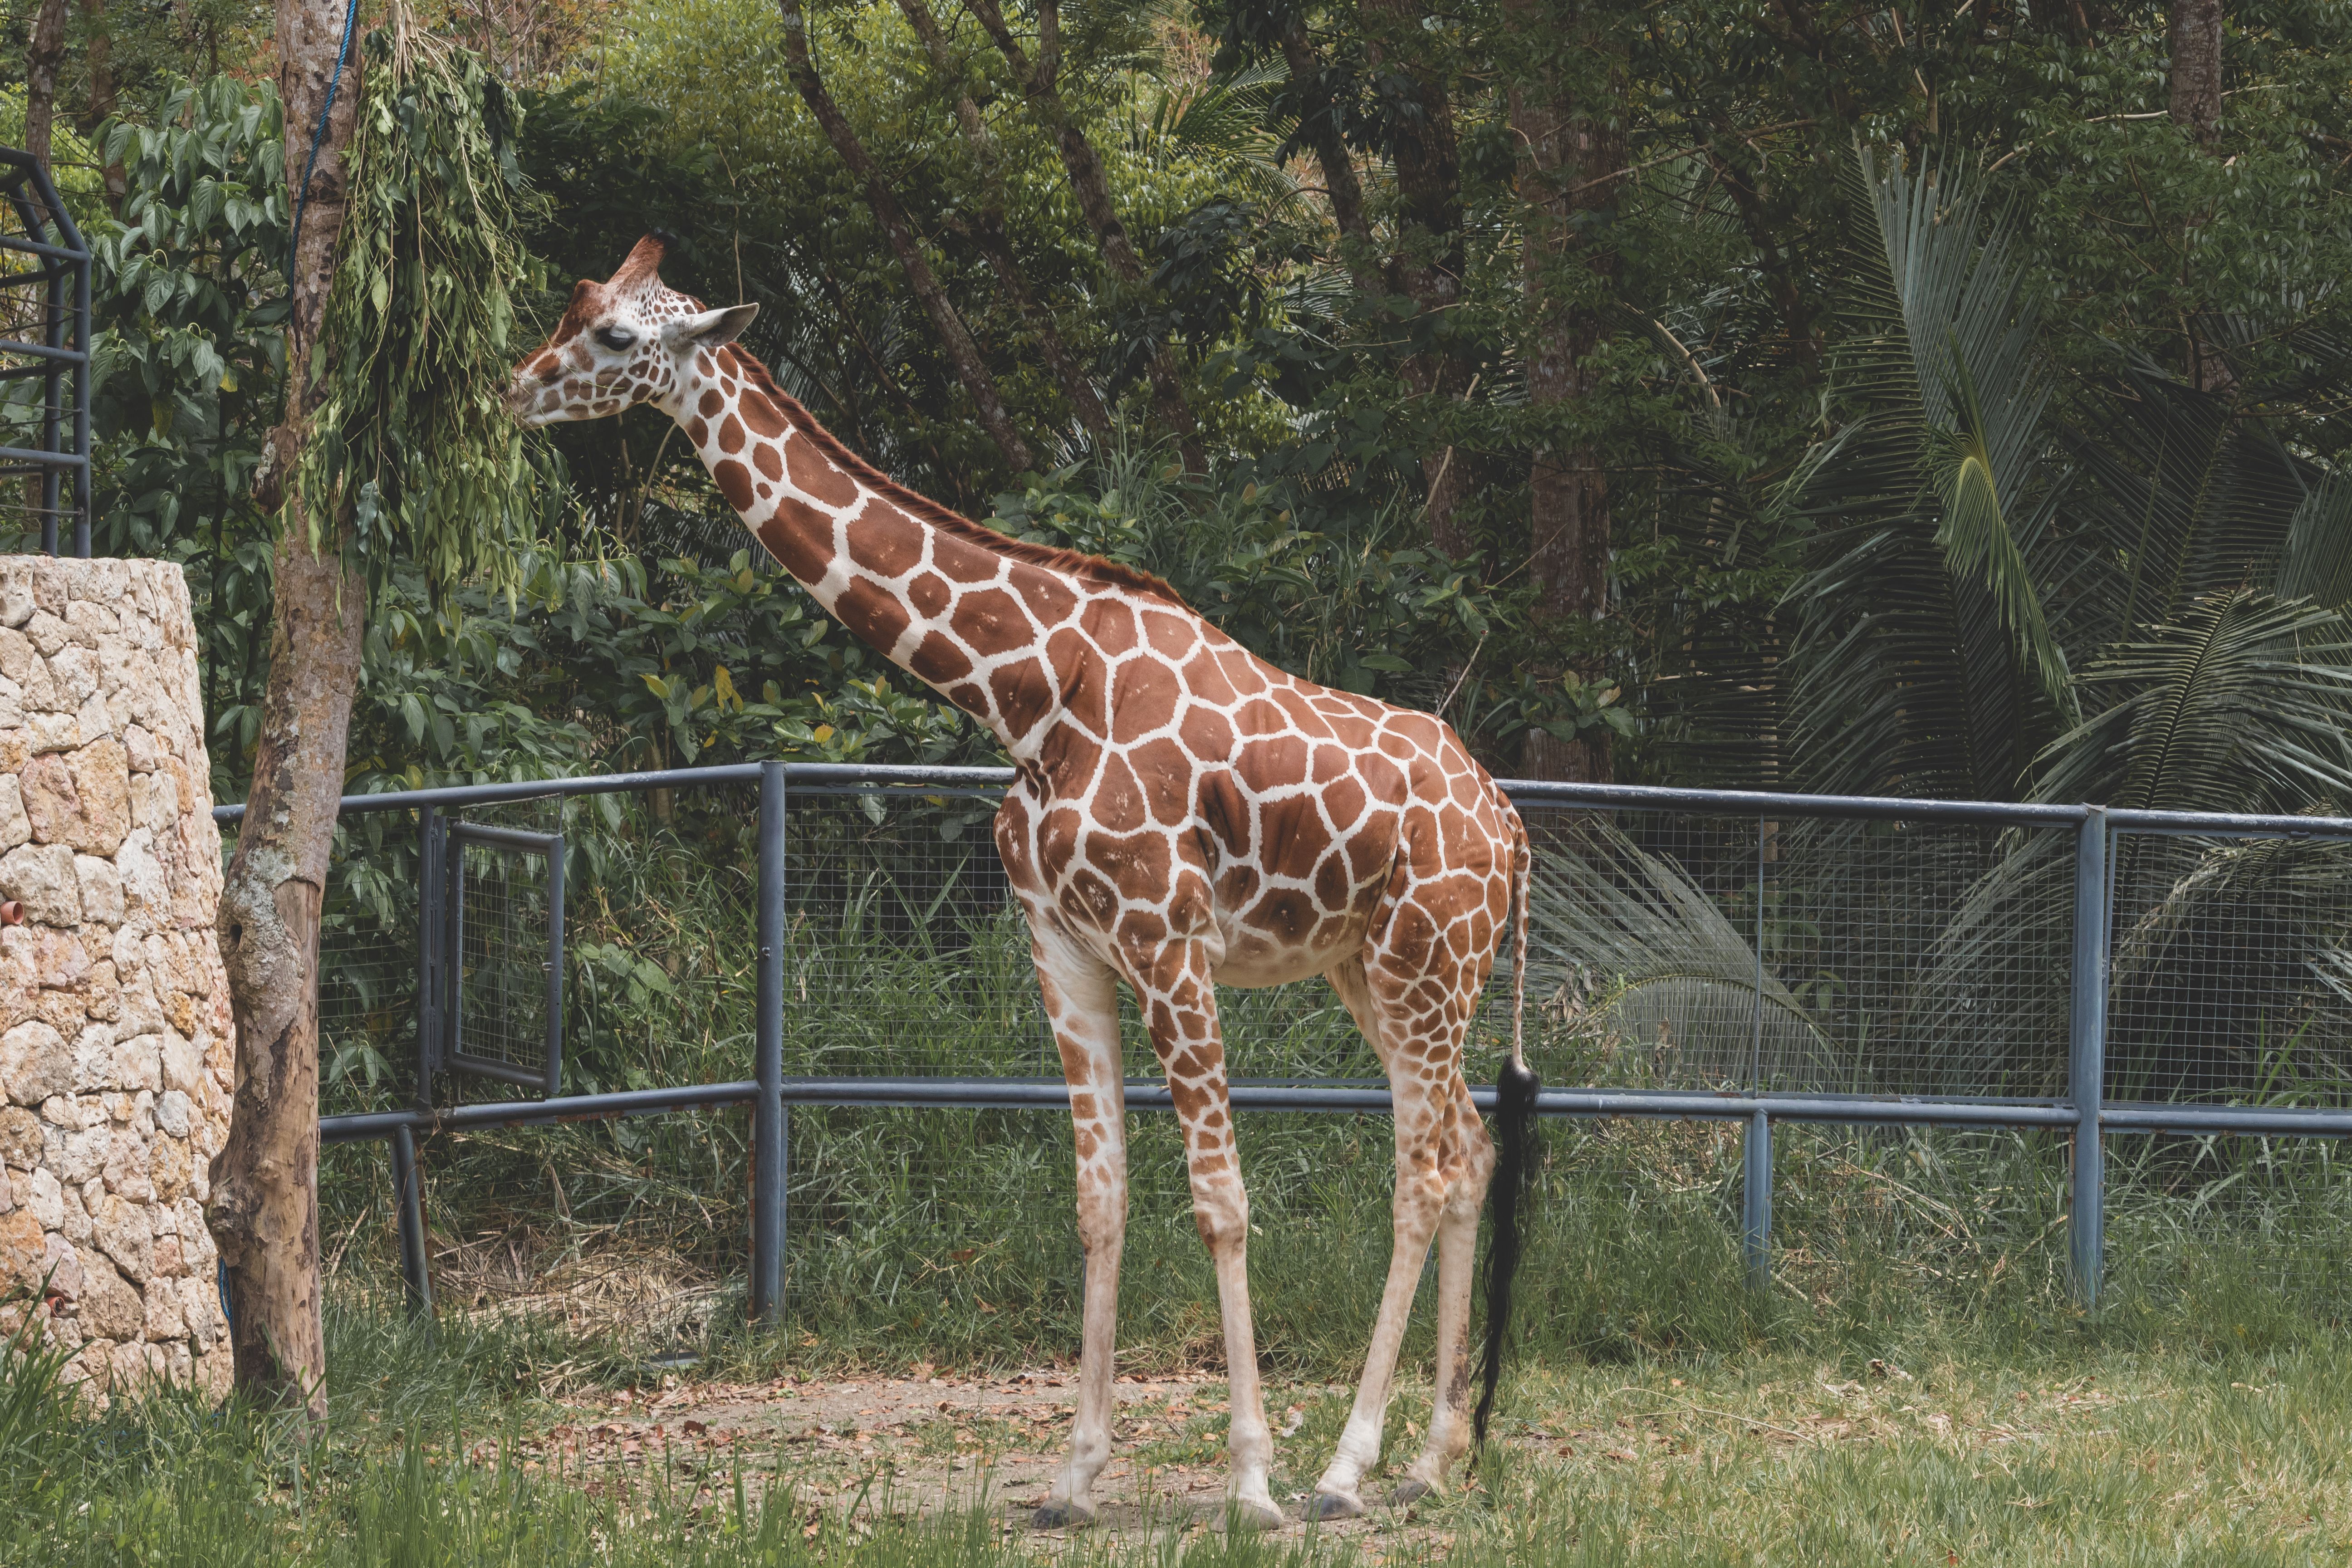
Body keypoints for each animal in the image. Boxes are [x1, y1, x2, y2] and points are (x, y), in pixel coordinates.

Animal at [509, 235, 1537, 1529]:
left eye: (611, 336)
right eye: (575, 308)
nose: (516, 387)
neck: (1031, 693)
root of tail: (1511, 824)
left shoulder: (1168, 939)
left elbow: (1221, 1199)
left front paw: (1250, 1478)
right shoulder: (1062, 944)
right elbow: (1099, 1201)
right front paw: (1073, 1476)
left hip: (1426, 962)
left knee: (1427, 1169)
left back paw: (1344, 1470)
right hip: (1377, 970)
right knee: (1469, 1155)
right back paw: (1428, 1455)